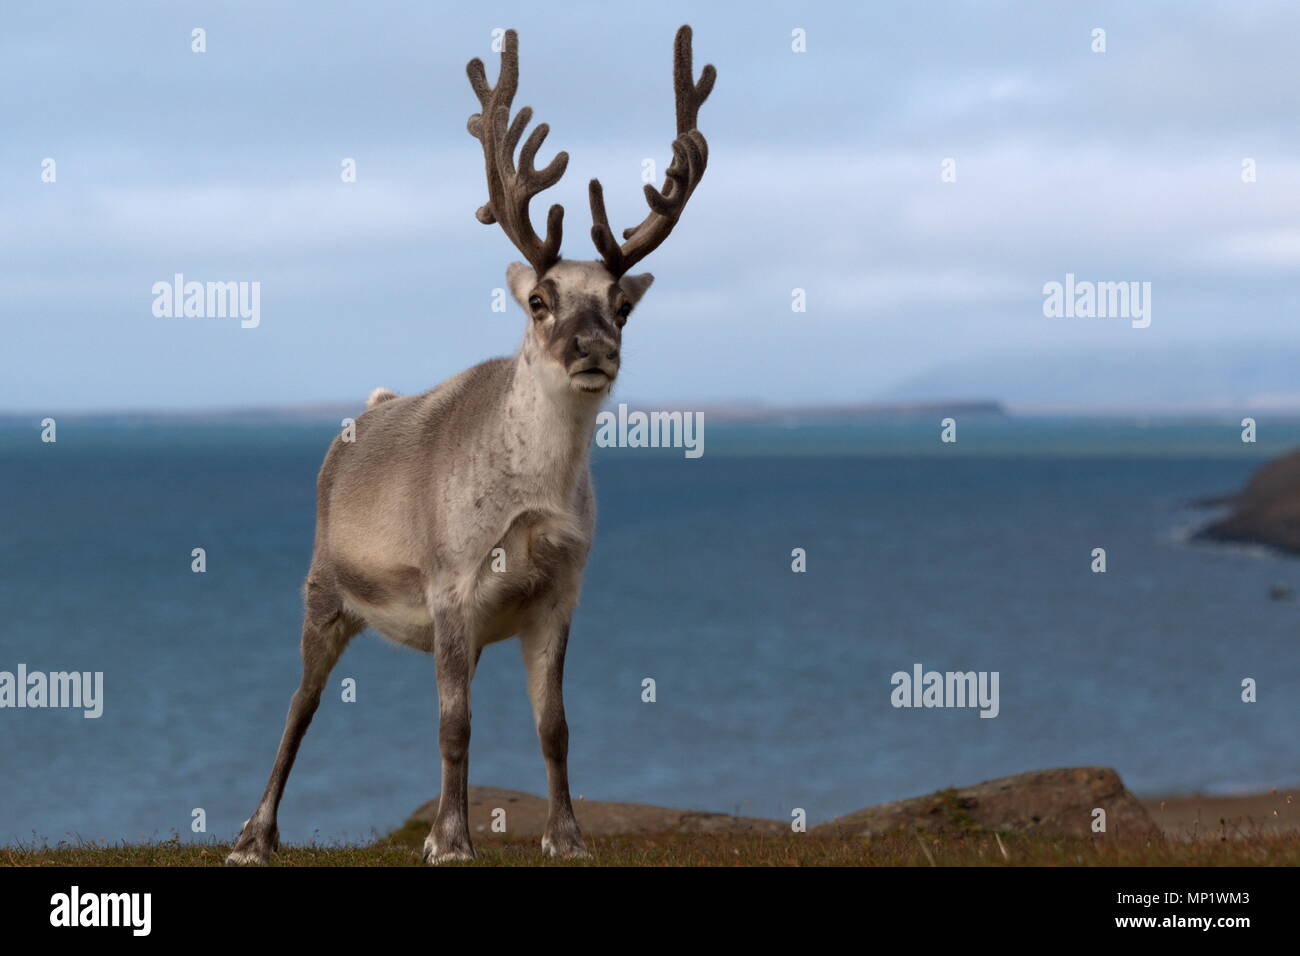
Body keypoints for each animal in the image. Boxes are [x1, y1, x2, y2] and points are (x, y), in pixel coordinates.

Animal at [226, 25, 715, 865]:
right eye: (541, 301)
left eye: (619, 304)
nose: (594, 349)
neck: (535, 492)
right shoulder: (451, 586)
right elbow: (454, 725)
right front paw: (450, 841)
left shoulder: (556, 595)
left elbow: (555, 726)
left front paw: (566, 837)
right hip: (324, 592)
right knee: (297, 706)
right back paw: (255, 835)